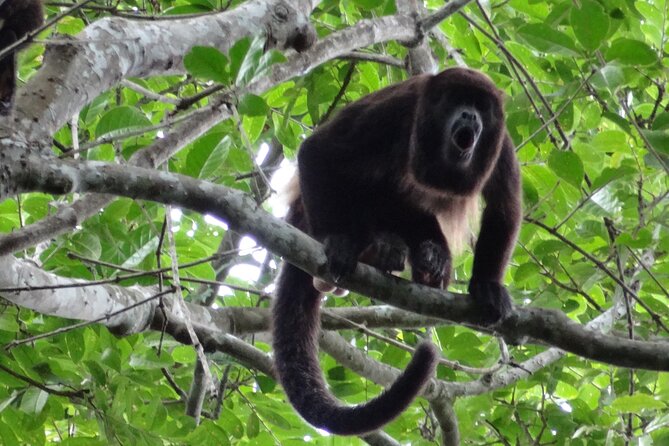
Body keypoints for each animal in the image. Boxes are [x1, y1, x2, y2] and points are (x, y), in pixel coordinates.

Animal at [272, 67, 522, 435]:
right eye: (457, 100)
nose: (469, 116)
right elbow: (318, 150)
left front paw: (487, 286)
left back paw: (429, 259)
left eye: (481, 106)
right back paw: (372, 248)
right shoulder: (397, 109)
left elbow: (504, 207)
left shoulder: (500, 142)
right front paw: (336, 242)